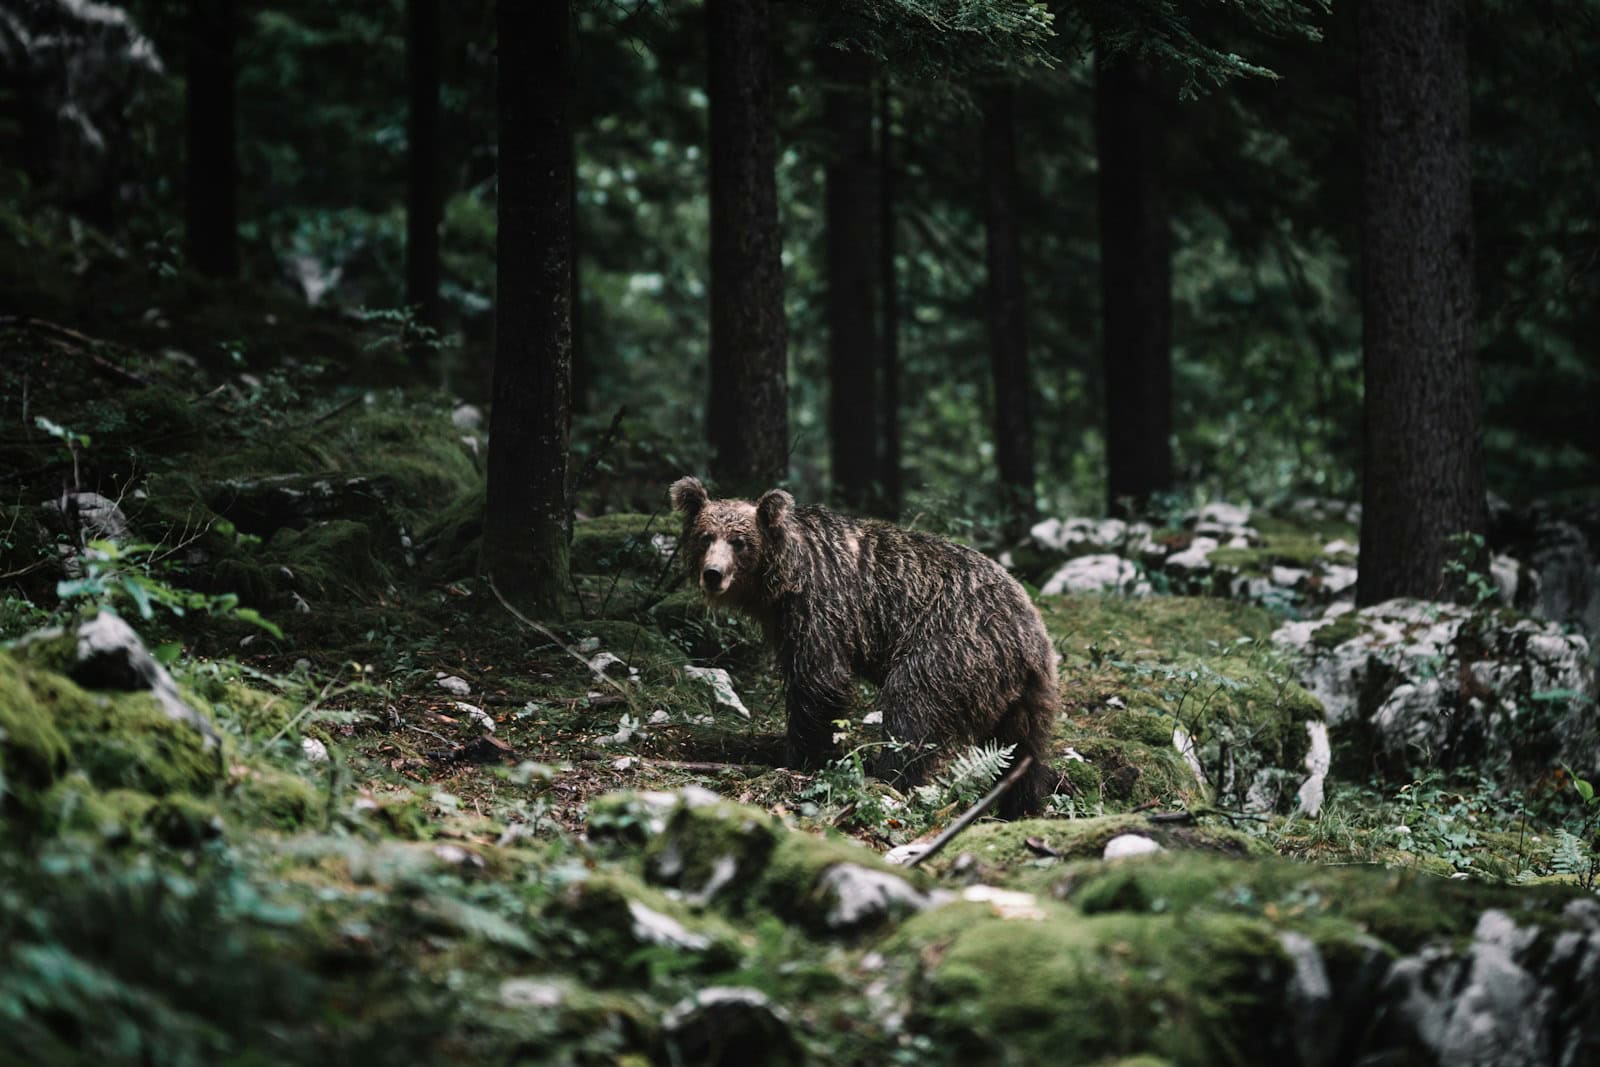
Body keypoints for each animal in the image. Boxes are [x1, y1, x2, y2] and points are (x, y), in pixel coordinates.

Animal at [669, 476, 1060, 817]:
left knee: (911, 707)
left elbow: (819, 682)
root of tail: (1029, 634)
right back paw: (1020, 805)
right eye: (705, 537)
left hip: (950, 647)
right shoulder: (785, 622)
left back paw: (889, 776)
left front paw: (801, 757)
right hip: (1029, 695)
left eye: (739, 541)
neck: (784, 580)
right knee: (1022, 749)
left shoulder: (821, 609)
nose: (713, 574)